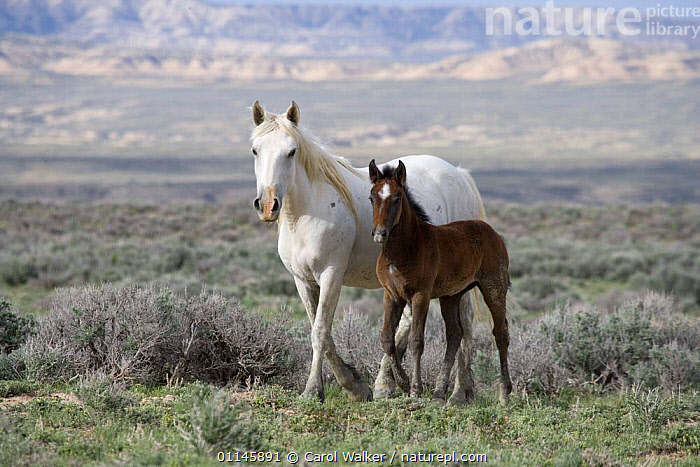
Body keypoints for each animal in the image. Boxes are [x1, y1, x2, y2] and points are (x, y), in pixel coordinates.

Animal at [250, 100, 486, 403]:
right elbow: (321, 331)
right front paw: (354, 385)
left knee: (465, 325)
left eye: (291, 151)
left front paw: (313, 390)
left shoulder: (331, 275)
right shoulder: (302, 280)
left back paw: (457, 393)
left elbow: (320, 331)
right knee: (408, 322)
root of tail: (460, 174)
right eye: (255, 150)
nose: (268, 205)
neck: (305, 213)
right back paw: (386, 383)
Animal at [369, 159, 513, 403]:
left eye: (397, 198)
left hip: (494, 288)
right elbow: (387, 338)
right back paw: (439, 392)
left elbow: (417, 340)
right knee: (455, 334)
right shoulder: (392, 295)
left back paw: (504, 393)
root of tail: (491, 231)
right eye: (372, 197)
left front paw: (415, 389)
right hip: (451, 295)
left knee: (500, 332)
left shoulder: (421, 295)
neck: (405, 247)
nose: (380, 234)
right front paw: (402, 383)